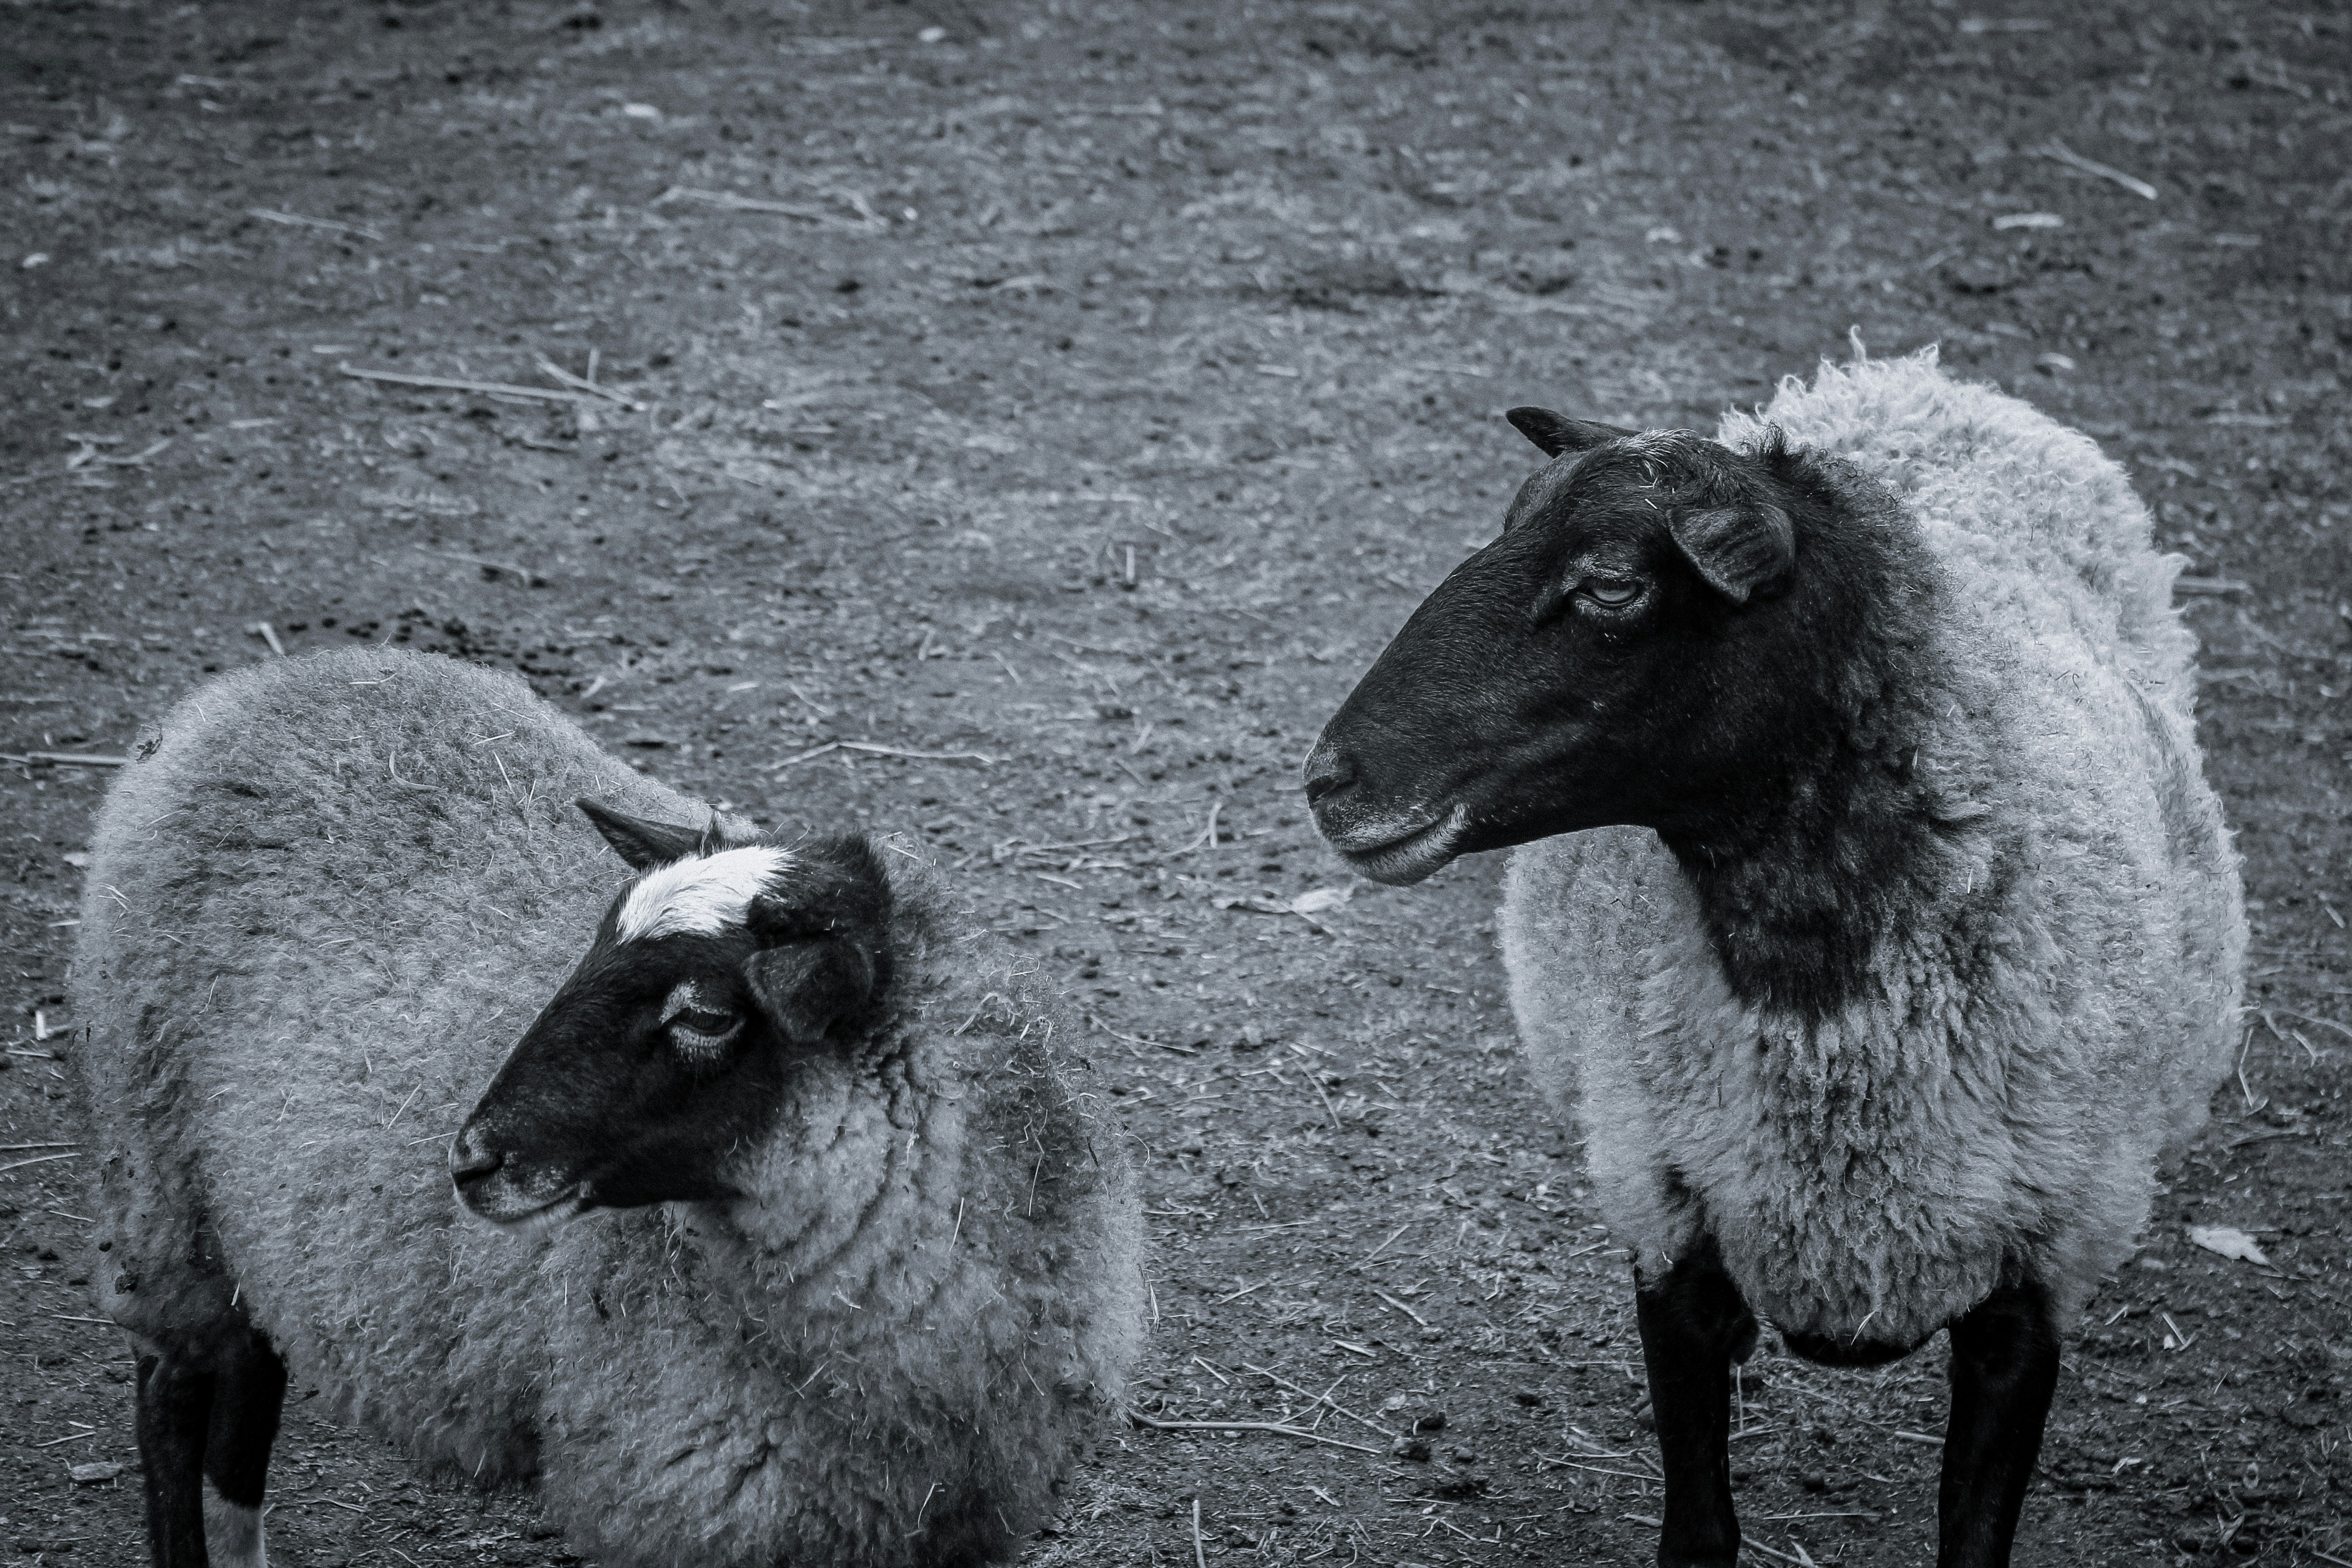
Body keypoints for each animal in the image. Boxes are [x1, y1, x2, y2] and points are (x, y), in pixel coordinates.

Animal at [70, 645, 1144, 1568]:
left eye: (705, 1015)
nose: (471, 1160)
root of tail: (265, 681)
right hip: (163, 1186)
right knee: (179, 1395)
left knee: (247, 1389)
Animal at [1303, 348, 2244, 1568]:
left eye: (1613, 587)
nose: (1329, 780)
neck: (1825, 1006)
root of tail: (1906, 373)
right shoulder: (1671, 1225)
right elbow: (1699, 1531)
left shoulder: (2040, 1271)